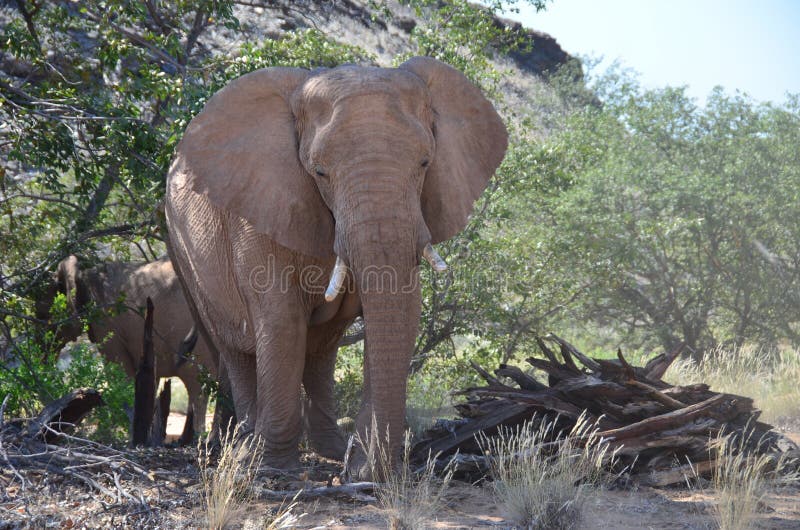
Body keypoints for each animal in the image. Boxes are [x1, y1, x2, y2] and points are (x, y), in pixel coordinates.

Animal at [165, 56, 507, 475]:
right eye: (319, 171)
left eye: (426, 162)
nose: (371, 472)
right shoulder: (260, 206)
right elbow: (281, 319)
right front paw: (273, 468)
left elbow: (403, 313)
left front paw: (363, 468)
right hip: (182, 250)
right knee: (234, 348)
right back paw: (244, 451)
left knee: (320, 350)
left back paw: (329, 450)